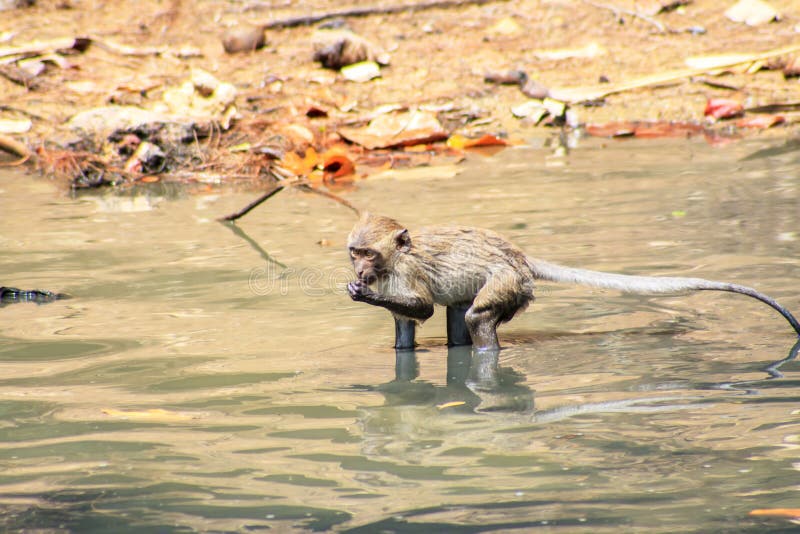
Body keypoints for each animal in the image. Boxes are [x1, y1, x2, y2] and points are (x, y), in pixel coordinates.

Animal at [346, 212, 800, 350]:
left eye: (368, 253)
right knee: (462, 317)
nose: (358, 272)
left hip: (510, 281)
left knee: (477, 317)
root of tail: (518, 256)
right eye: (354, 252)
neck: (393, 261)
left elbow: (421, 307)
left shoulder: (405, 273)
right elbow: (405, 330)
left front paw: (364, 296)